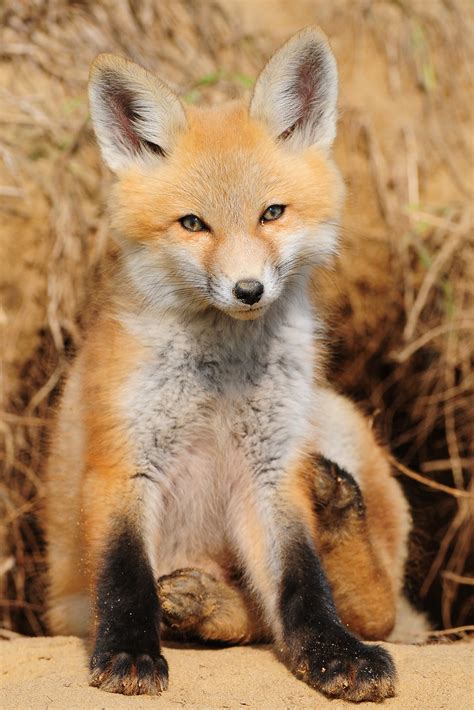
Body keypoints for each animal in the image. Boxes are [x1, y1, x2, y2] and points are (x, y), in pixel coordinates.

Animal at [44, 27, 428, 702]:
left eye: (272, 213)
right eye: (193, 223)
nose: (248, 290)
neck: (220, 381)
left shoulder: (272, 470)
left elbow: (305, 584)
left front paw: (331, 653)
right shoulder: (122, 458)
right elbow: (124, 577)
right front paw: (128, 653)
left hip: (331, 418)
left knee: (377, 607)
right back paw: (203, 605)